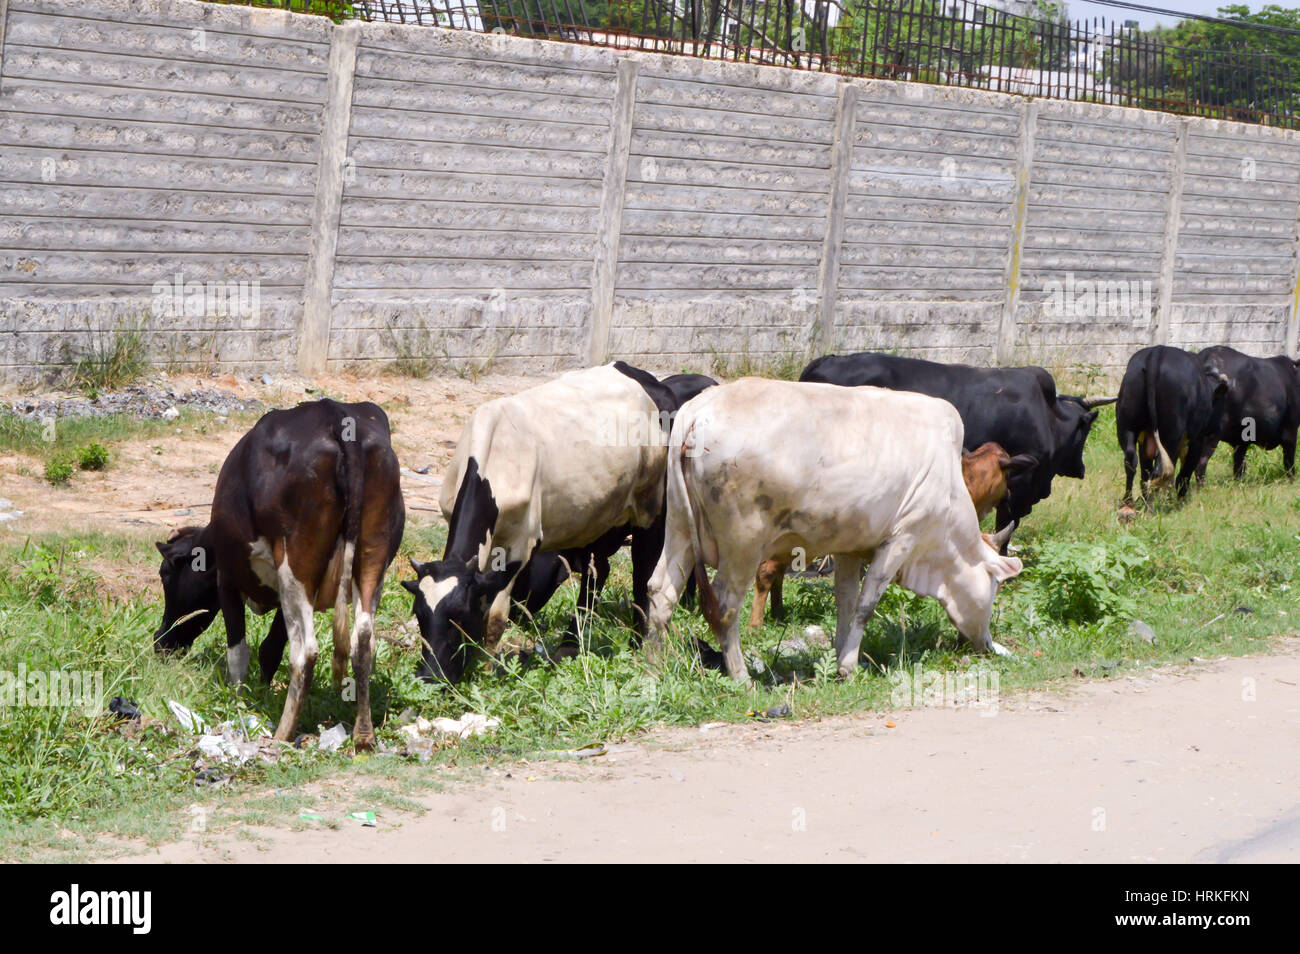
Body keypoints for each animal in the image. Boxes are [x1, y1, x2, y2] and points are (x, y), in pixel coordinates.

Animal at [153, 400, 404, 749]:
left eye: (165, 575)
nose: (159, 642)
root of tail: (335, 413)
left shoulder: (227, 580)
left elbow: (240, 651)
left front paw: (240, 700)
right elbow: (270, 648)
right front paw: (262, 691)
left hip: (296, 566)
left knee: (306, 651)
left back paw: (283, 733)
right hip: (372, 559)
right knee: (363, 641)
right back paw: (363, 735)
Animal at [404, 362, 685, 683]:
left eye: (459, 617)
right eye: (420, 615)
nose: (429, 675)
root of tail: (637, 373)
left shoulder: (518, 547)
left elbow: (496, 618)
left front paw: (487, 671)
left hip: (651, 510)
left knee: (642, 576)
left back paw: (636, 642)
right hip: (596, 513)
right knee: (598, 572)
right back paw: (569, 644)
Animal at [1115, 346, 1229, 504]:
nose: (1219, 428)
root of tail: (1157, 352)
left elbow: (1146, 470)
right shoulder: (1196, 440)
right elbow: (1184, 473)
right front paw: (1179, 500)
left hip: (1127, 426)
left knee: (1132, 462)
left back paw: (1130, 501)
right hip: (1171, 435)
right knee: (1160, 471)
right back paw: (1151, 506)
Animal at [1195, 346, 1300, 480]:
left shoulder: (1241, 440)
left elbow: (1239, 465)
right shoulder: (1290, 430)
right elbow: (1289, 462)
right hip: (1210, 435)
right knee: (1200, 464)